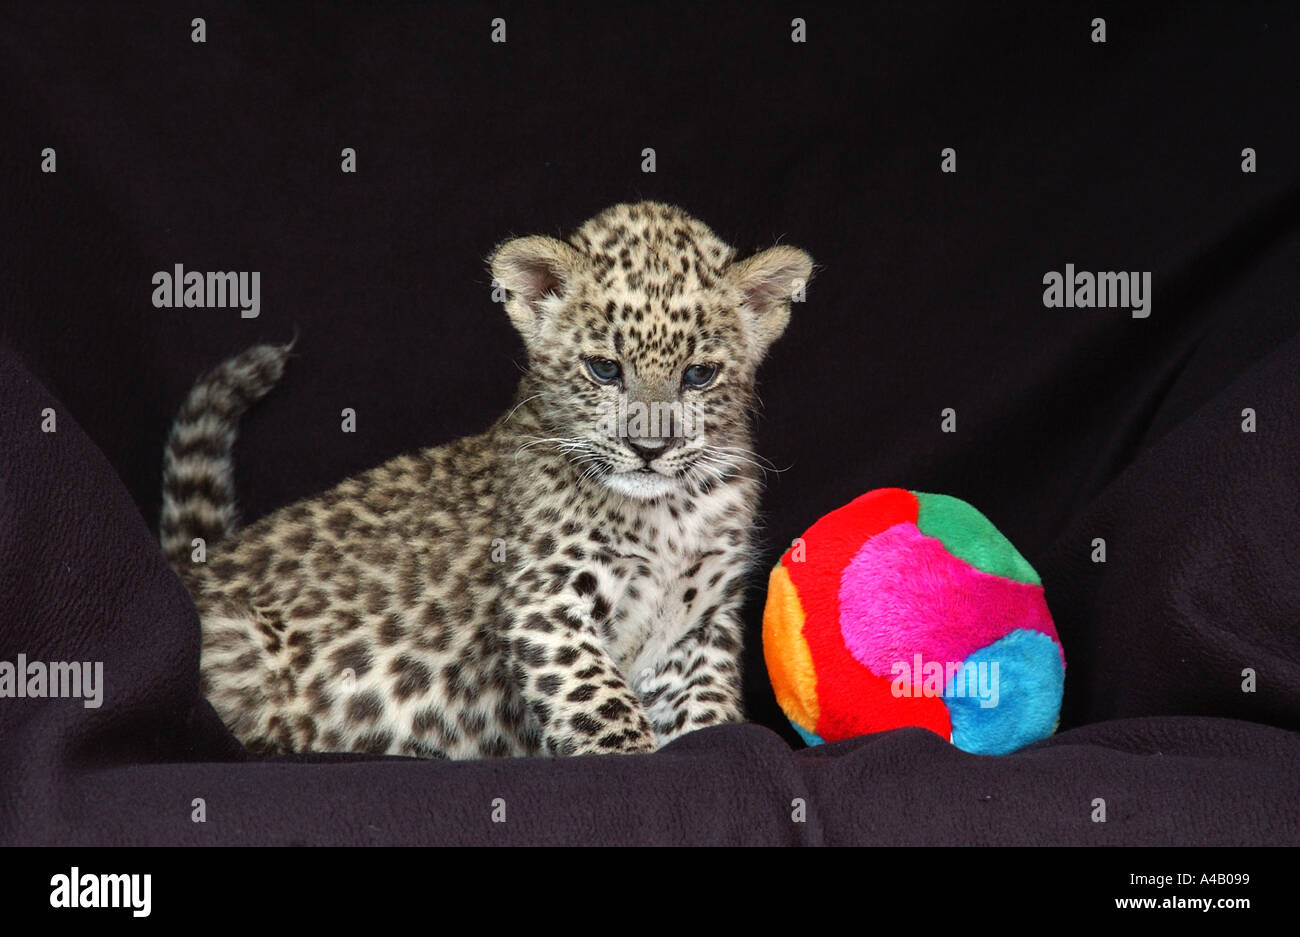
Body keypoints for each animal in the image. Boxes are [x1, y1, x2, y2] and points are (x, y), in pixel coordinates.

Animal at [159, 201, 813, 759]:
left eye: (699, 376)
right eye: (605, 369)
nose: (649, 449)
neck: (668, 515)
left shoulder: (701, 621)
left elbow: (706, 706)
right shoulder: (547, 598)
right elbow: (597, 697)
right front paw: (631, 755)